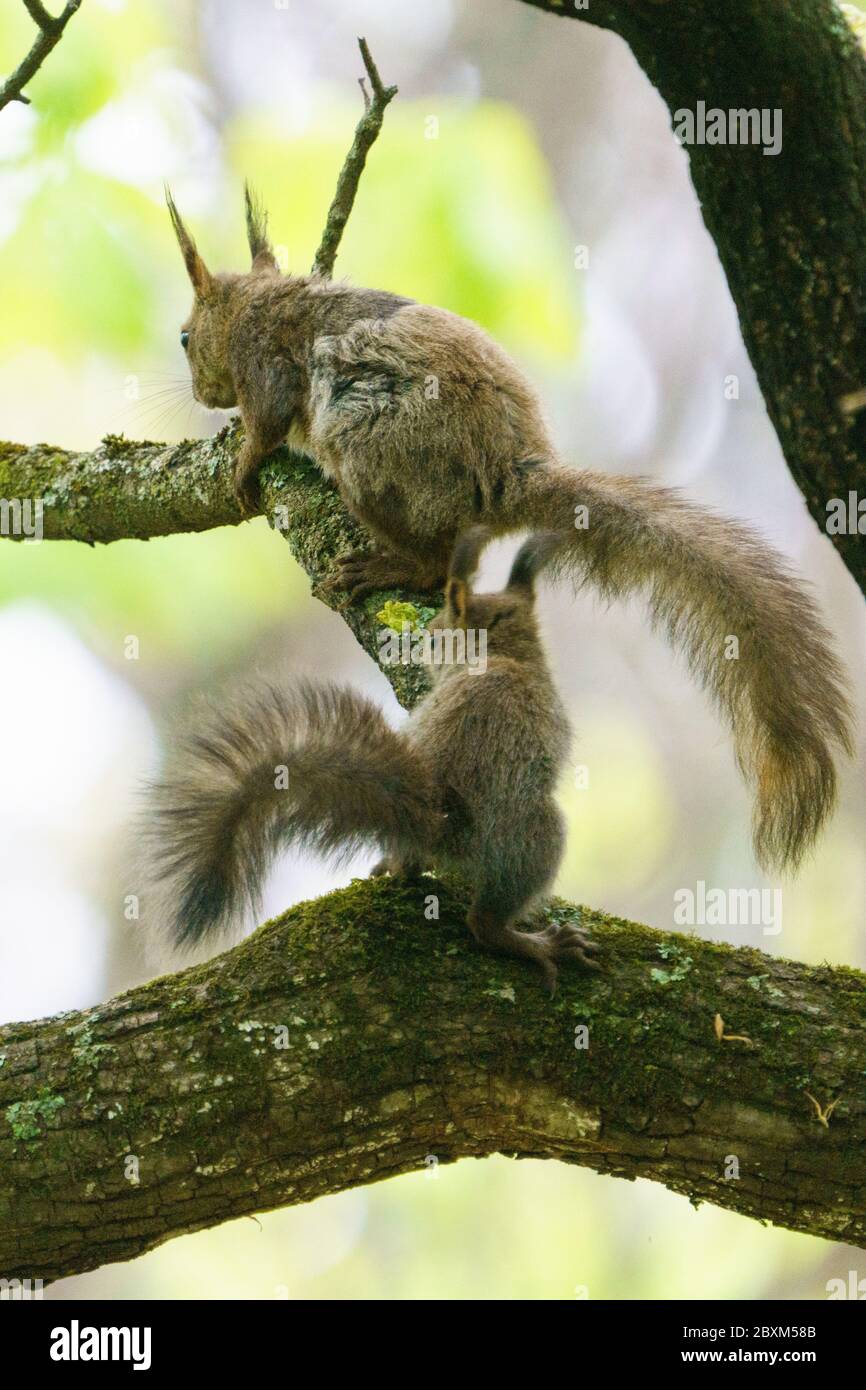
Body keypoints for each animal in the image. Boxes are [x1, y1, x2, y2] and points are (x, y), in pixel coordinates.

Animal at [142, 527, 601, 990]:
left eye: (435, 637)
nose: (422, 649)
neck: (508, 655)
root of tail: (433, 823)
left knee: (413, 868)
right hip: (534, 836)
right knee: (483, 922)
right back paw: (533, 943)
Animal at [165, 185, 854, 874]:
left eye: (183, 338)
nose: (201, 394)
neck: (256, 303)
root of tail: (508, 478)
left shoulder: (265, 361)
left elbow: (269, 419)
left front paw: (243, 461)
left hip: (366, 437)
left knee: (432, 559)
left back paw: (387, 564)